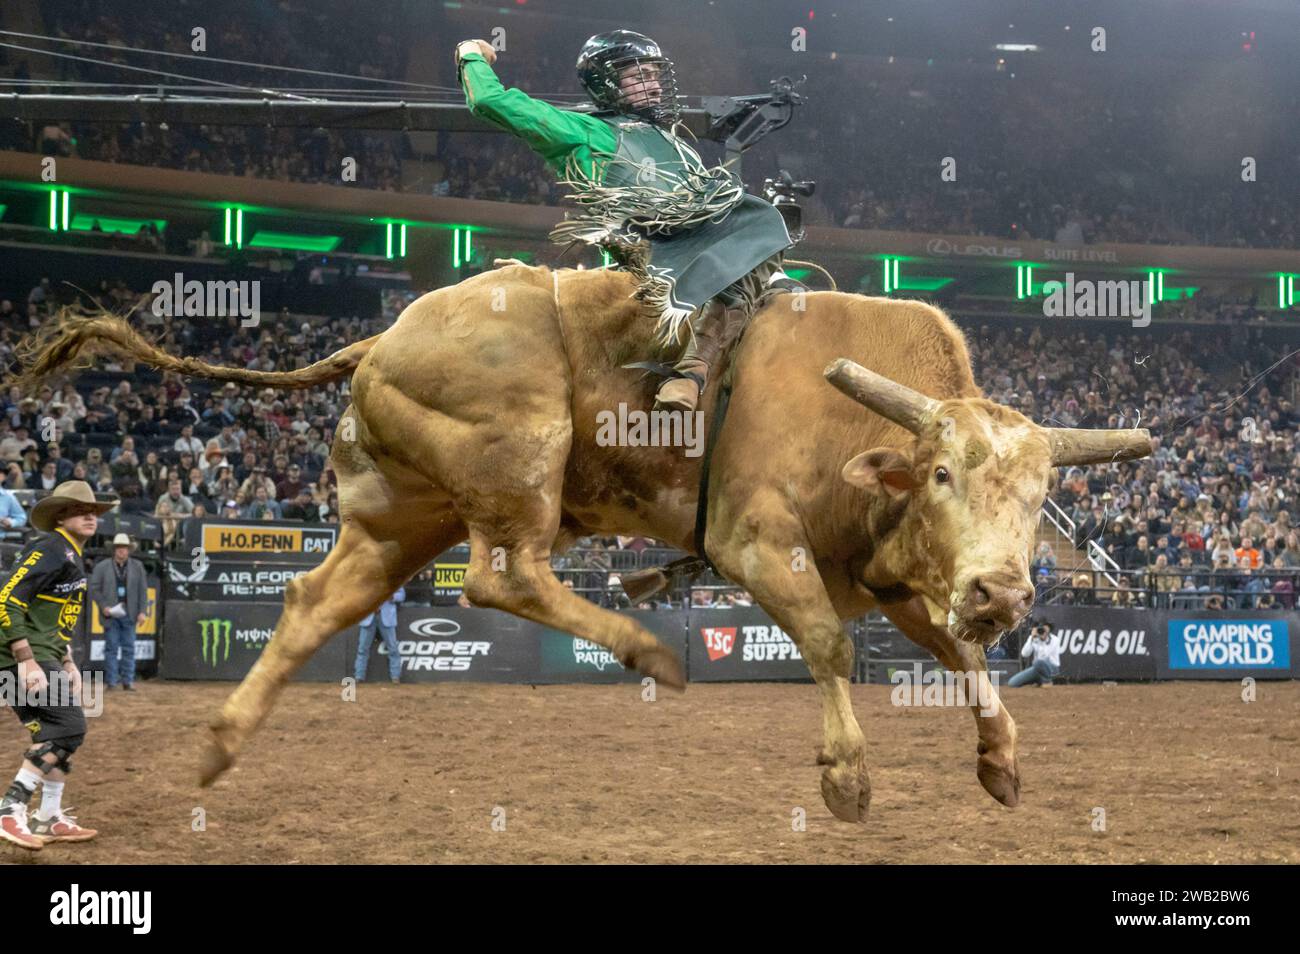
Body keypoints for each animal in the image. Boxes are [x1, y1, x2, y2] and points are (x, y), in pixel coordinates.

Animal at [12, 263, 1151, 822]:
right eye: (945, 474)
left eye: (1042, 494)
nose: (1007, 594)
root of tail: (384, 335)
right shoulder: (757, 546)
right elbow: (829, 647)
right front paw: (845, 776)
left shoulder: (898, 580)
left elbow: (960, 656)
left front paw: (1000, 762)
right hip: (517, 450)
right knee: (503, 577)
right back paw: (648, 649)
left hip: (399, 515)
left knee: (314, 607)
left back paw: (219, 744)